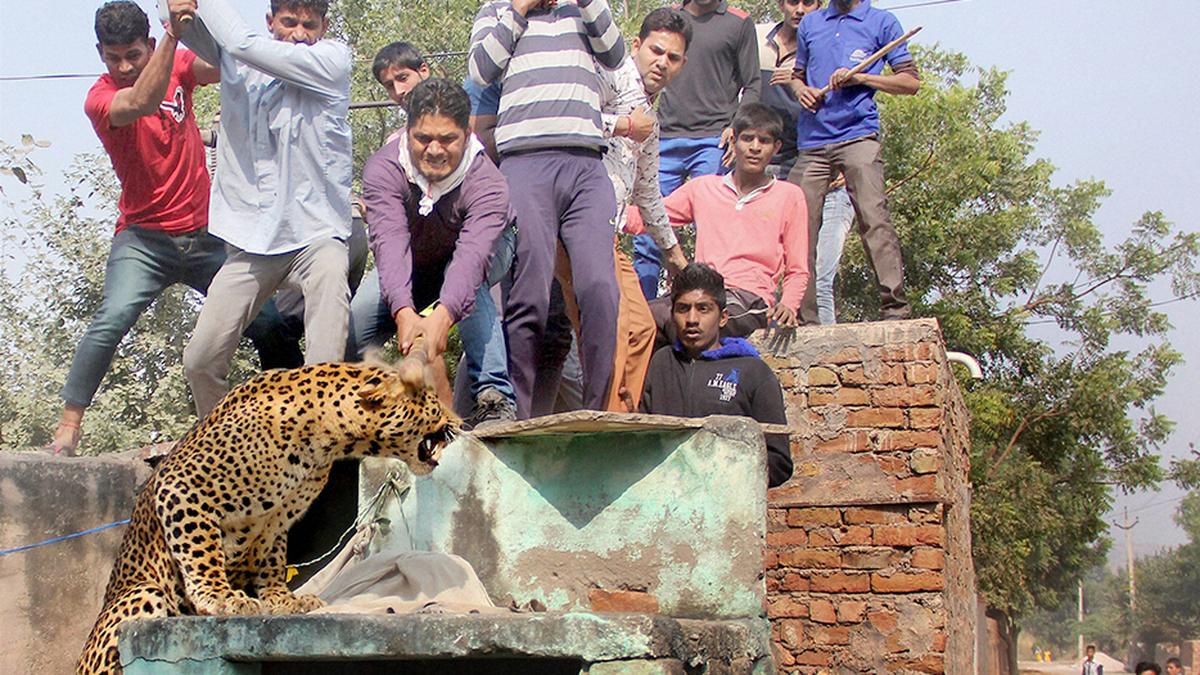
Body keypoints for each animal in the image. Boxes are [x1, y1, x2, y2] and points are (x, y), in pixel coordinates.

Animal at [77, 358, 459, 674]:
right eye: (429, 399)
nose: (459, 422)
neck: (328, 440)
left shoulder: (274, 520)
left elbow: (271, 559)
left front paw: (282, 599)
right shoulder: (184, 486)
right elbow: (201, 551)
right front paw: (220, 596)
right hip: (142, 594)